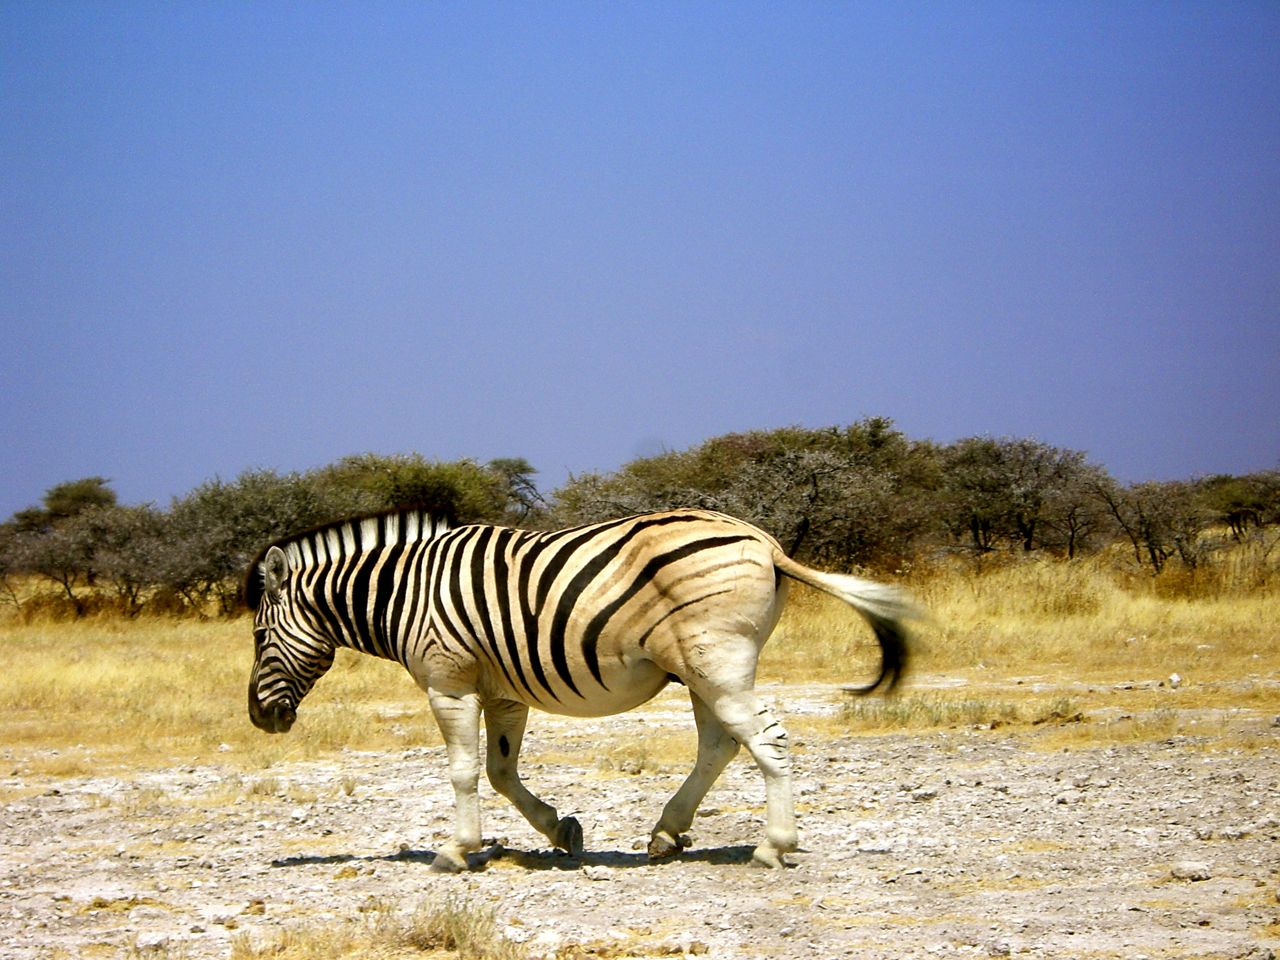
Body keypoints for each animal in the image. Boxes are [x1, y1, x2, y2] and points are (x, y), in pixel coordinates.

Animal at [246, 507, 917, 871]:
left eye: (258, 635)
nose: (258, 720)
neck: (405, 593)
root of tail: (767, 542)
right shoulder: (503, 691)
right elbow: (501, 773)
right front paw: (561, 832)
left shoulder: (449, 683)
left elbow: (464, 772)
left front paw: (457, 850)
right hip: (700, 666)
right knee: (720, 744)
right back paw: (667, 832)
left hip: (717, 660)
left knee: (766, 740)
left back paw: (774, 846)